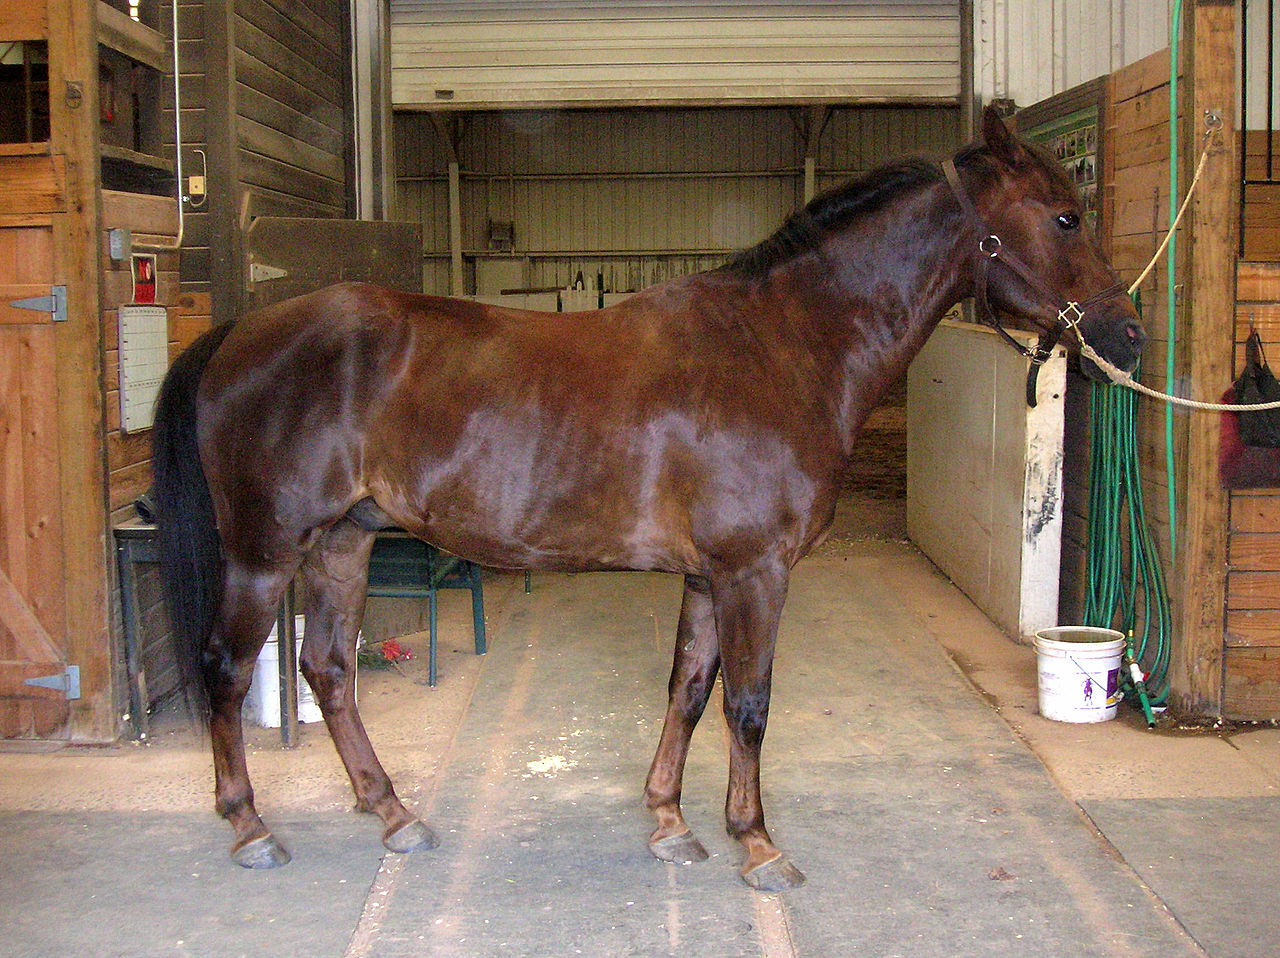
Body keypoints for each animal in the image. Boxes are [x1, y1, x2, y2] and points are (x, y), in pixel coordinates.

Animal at [152, 106, 1144, 892]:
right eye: (1065, 214)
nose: (1128, 335)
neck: (784, 343)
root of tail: (246, 329)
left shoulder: (710, 577)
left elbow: (690, 690)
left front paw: (670, 822)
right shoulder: (755, 574)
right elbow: (750, 703)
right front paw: (759, 844)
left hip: (342, 543)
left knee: (328, 669)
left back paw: (393, 812)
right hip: (265, 552)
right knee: (228, 669)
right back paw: (250, 826)